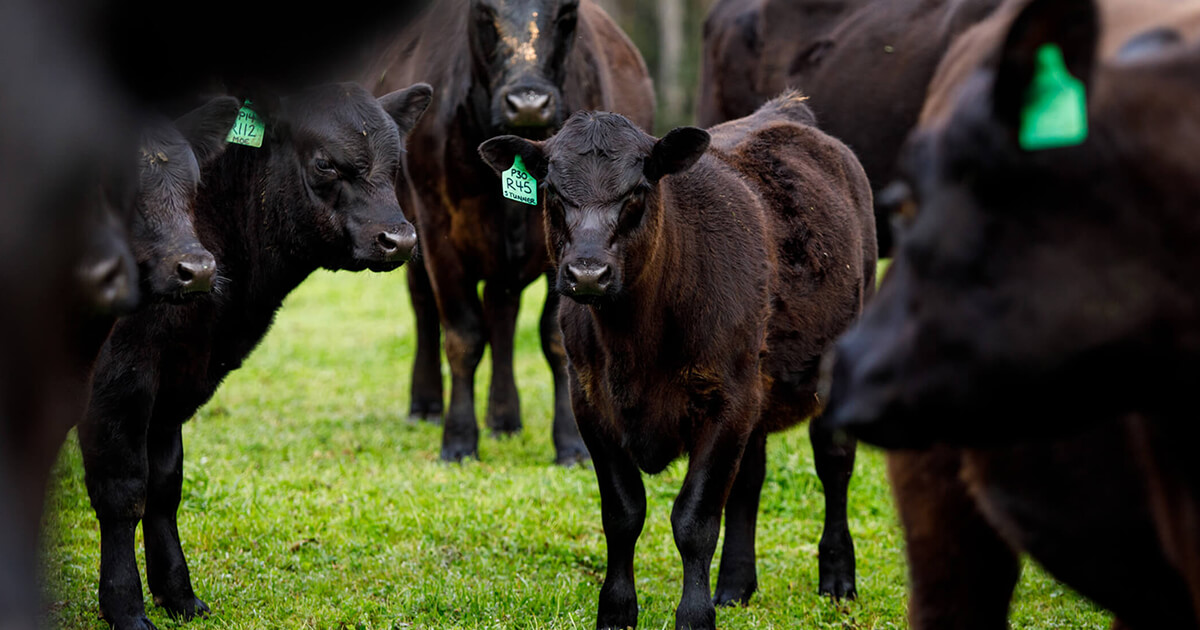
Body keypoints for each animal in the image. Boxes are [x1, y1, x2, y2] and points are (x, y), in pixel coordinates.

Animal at [76, 82, 432, 630]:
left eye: (396, 165)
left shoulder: (174, 386)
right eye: (325, 163)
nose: (400, 239)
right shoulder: (118, 381)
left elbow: (165, 487)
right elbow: (123, 492)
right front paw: (126, 608)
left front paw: (179, 596)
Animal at [361, 0, 655, 465]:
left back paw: (503, 417)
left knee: (502, 312)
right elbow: (463, 335)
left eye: (567, 11)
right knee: (426, 308)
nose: (529, 103)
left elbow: (555, 337)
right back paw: (426, 406)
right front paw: (459, 440)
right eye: (484, 11)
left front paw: (571, 443)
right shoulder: (437, 229)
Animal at [478, 92, 877, 629]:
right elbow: (623, 514)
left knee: (834, 466)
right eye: (553, 193)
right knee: (749, 480)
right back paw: (734, 585)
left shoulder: (726, 401)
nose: (587, 274)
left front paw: (694, 616)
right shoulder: (590, 403)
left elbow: (695, 520)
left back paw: (837, 580)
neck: (635, 342)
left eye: (637, 192)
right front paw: (617, 610)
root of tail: (785, 111)